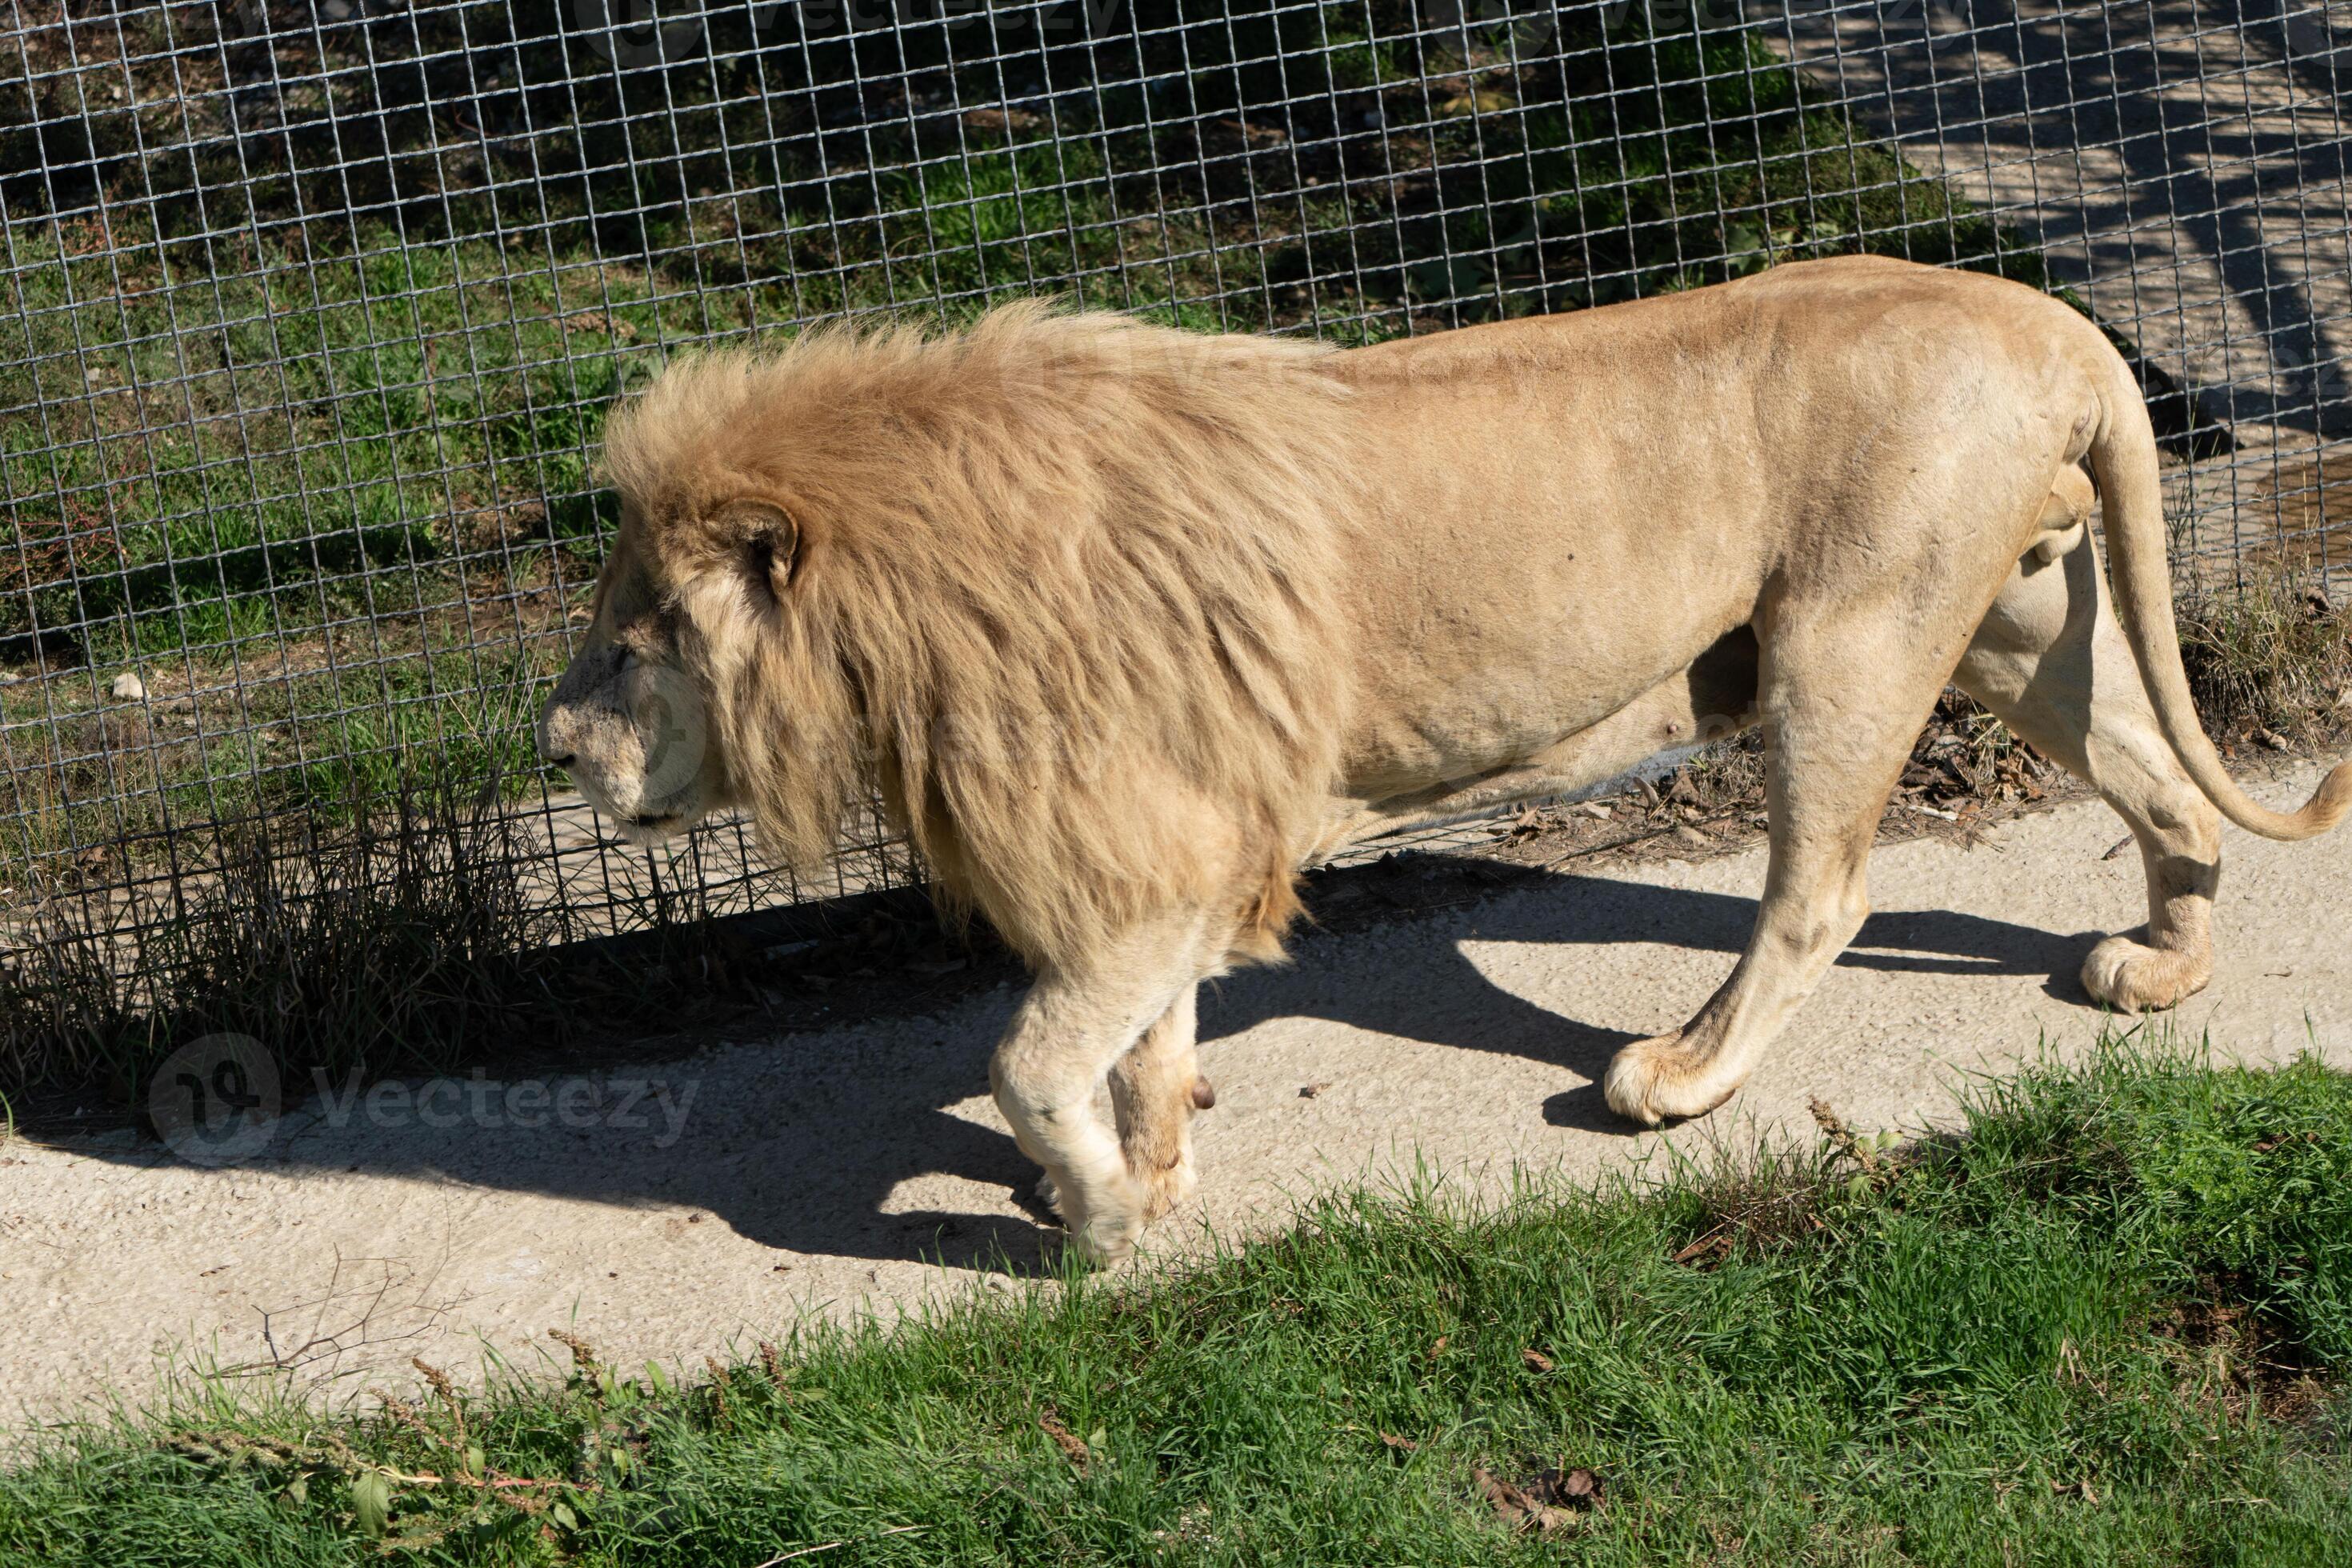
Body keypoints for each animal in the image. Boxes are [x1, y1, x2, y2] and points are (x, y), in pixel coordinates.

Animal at [538, 255, 2351, 1263]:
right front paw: (1158, 1160)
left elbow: (1029, 1065)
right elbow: (1138, 1041)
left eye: (629, 644)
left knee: (1820, 891)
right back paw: (2165, 965)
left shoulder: (1140, 854)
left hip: (1854, 634)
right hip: (2010, 625)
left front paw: (1103, 1223)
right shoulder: (1173, 837)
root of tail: (2052, 318)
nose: (551, 747)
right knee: (2162, 781)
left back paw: (1677, 1077)